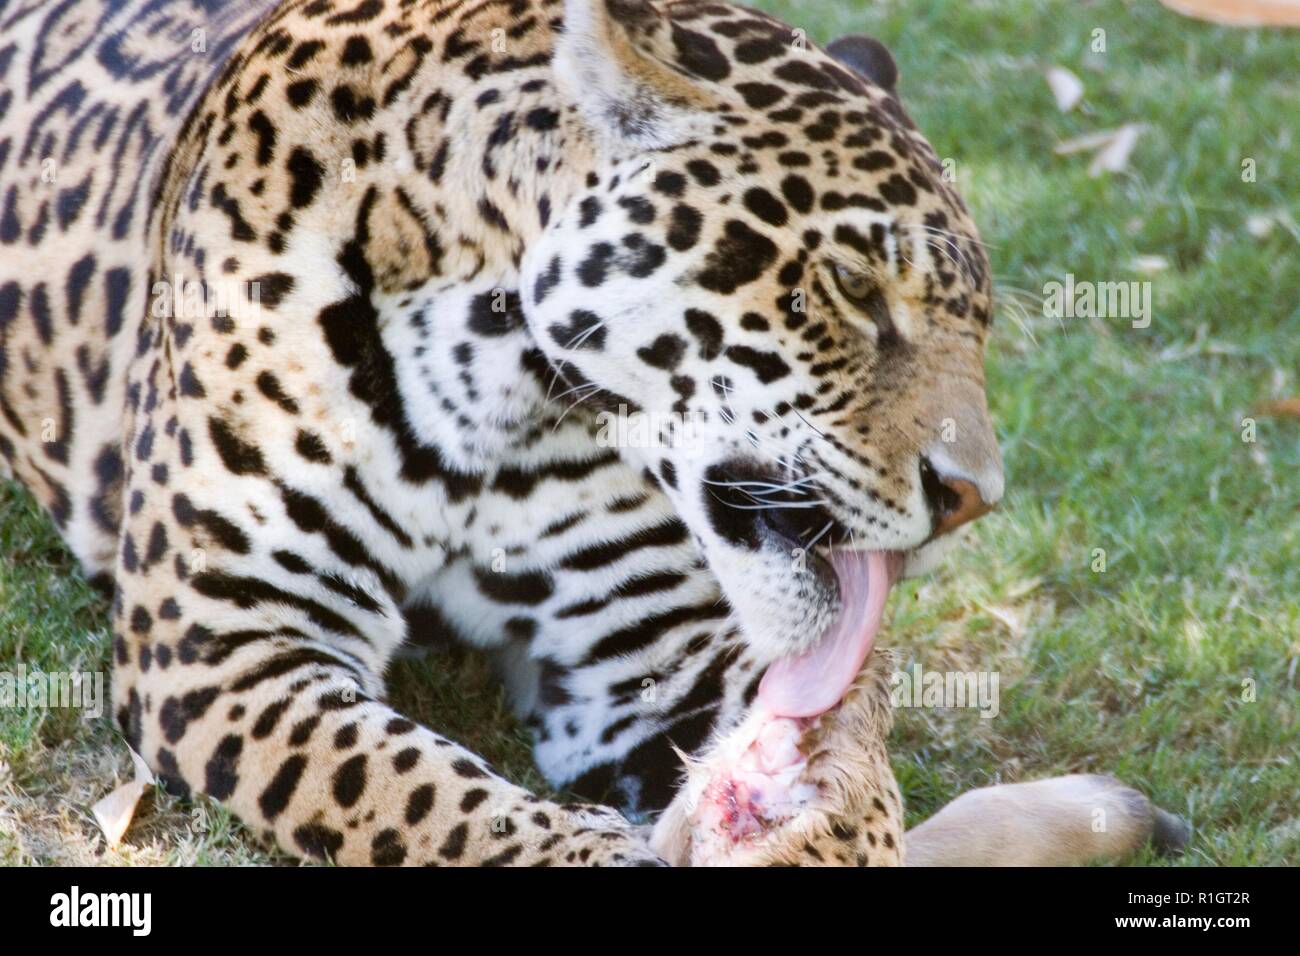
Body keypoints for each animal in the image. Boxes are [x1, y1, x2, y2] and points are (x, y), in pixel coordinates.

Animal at [0, 0, 1187, 865]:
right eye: (853, 286)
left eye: (977, 322)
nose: (973, 495)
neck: (498, 385)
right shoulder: (227, 641)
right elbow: (424, 792)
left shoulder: (648, 662)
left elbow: (858, 761)